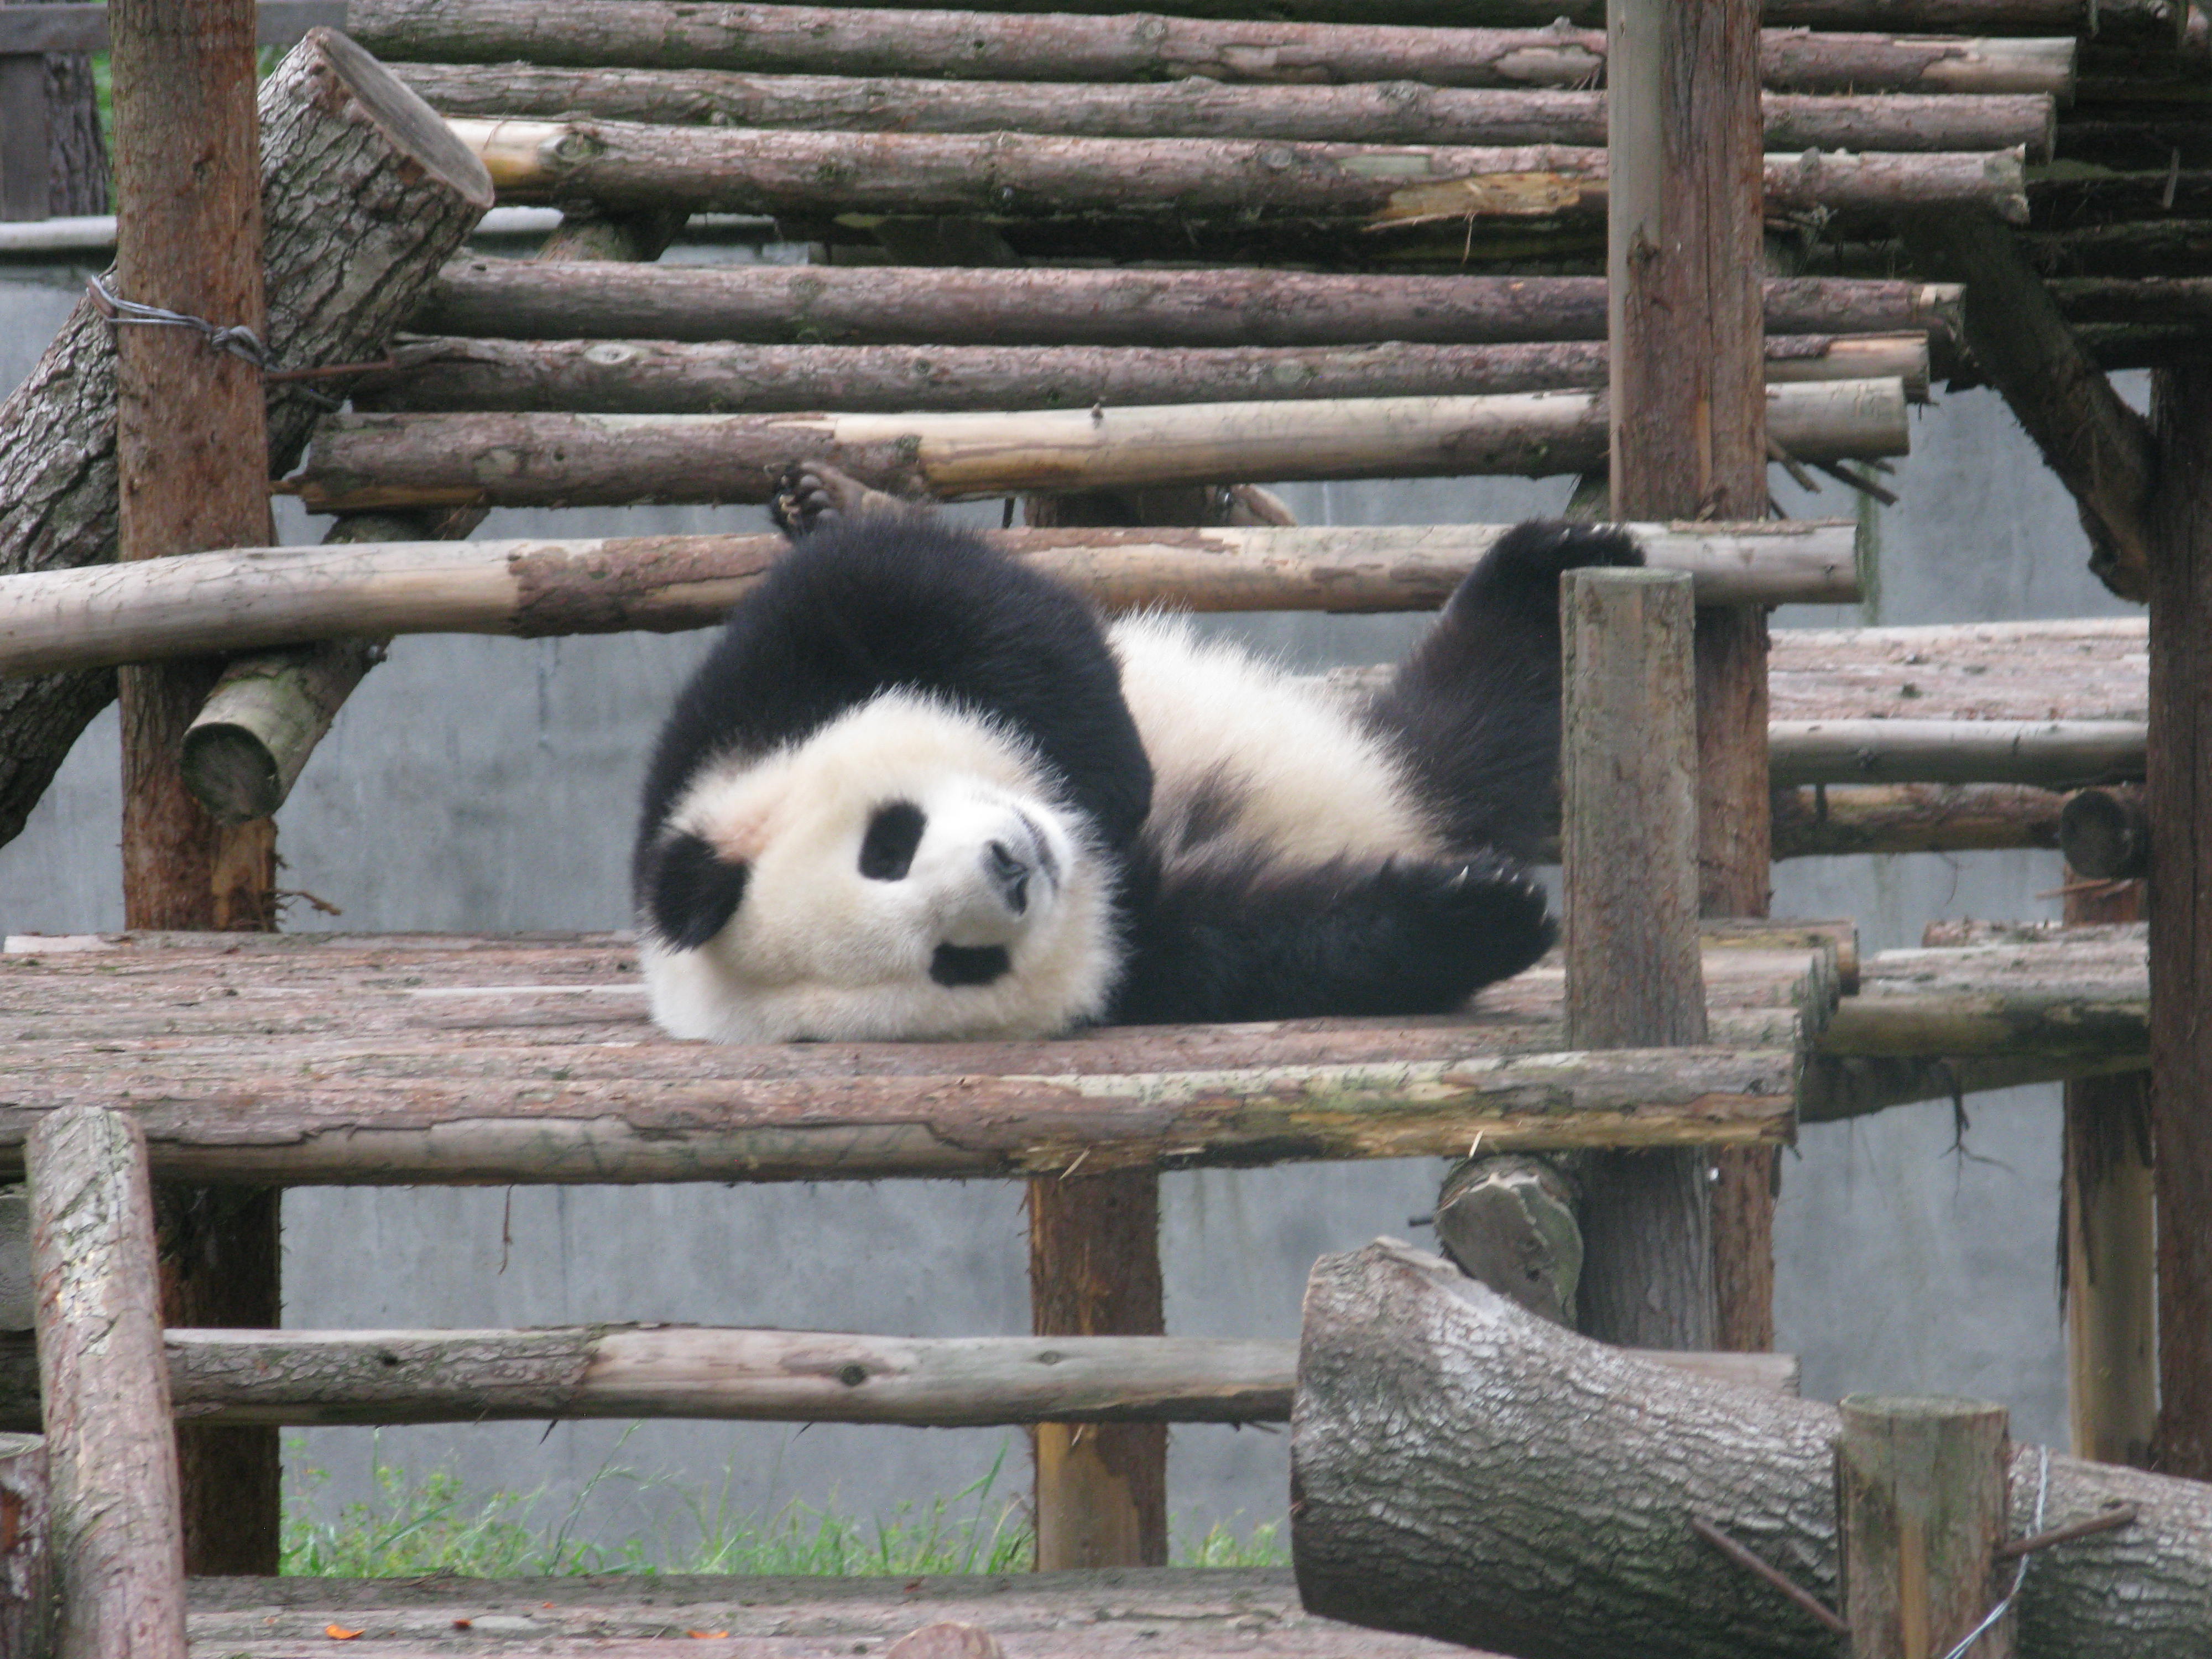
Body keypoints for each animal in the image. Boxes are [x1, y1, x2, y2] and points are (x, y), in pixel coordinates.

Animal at [631, 473, 1642, 1044]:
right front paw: (1486, 911)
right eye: (956, 962)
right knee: (1482, 720)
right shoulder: (1147, 958)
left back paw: (1554, 561)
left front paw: (1109, 775)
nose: (1013, 868)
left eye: (888, 844)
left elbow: (923, 587)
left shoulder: (740, 707)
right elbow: (1269, 945)